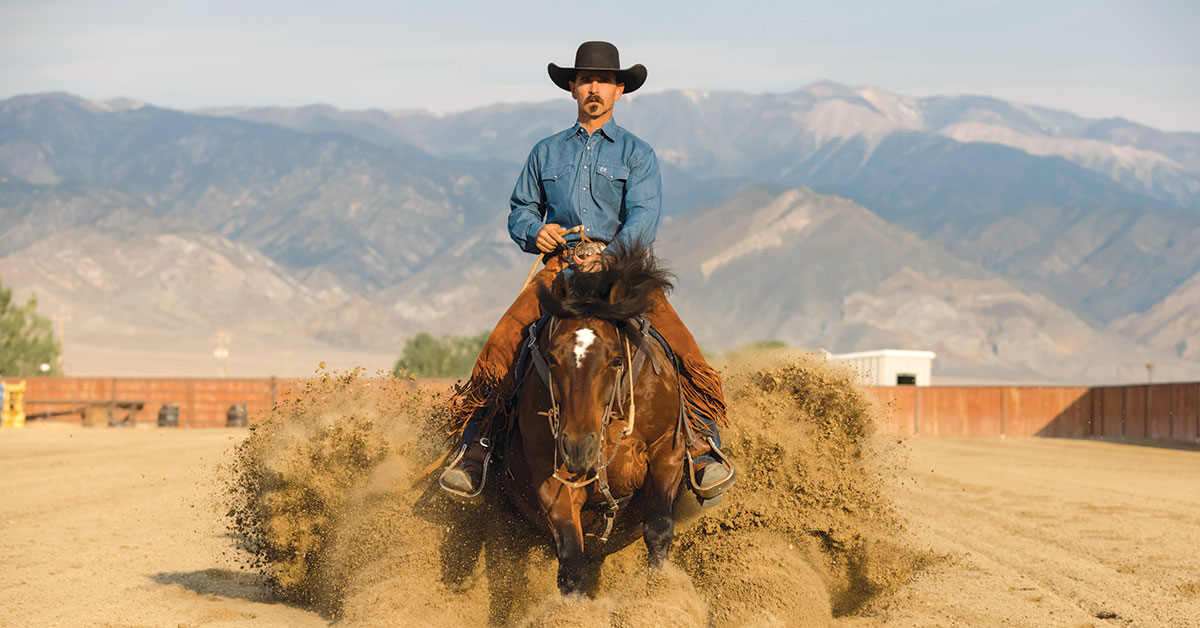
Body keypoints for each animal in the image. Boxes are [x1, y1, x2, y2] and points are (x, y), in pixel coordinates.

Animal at [496, 245, 691, 595]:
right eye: (551, 358)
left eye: (616, 360)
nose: (577, 446)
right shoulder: (552, 476)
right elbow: (572, 566)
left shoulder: (667, 449)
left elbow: (658, 528)